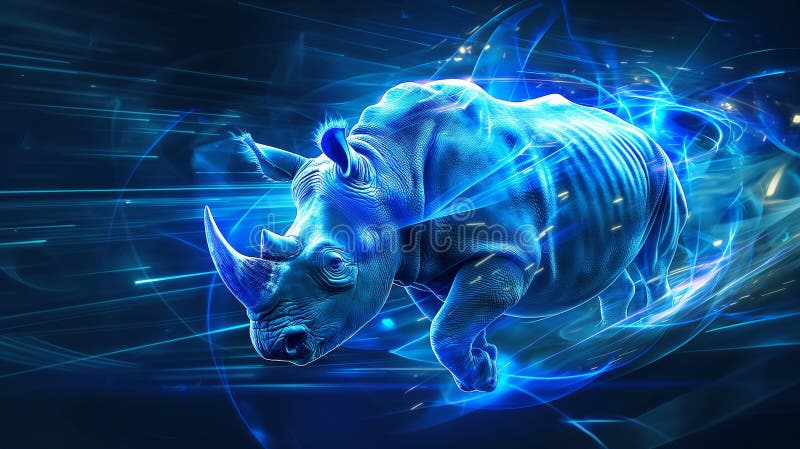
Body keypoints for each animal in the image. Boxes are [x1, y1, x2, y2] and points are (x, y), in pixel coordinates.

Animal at [203, 79, 687, 392]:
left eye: (335, 264)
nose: (275, 347)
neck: (388, 170)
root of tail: (636, 129)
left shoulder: (509, 253)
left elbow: (445, 328)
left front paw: (480, 375)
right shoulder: (420, 265)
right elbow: (450, 321)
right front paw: (484, 367)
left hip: (662, 170)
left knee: (653, 258)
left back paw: (650, 325)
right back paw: (611, 334)